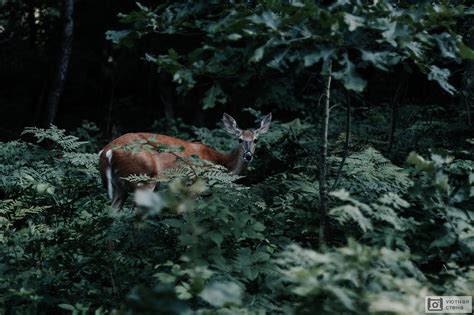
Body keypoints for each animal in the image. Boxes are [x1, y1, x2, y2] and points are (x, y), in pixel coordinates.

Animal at [98, 113, 272, 210]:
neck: (219, 161)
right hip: (143, 178)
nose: (248, 156)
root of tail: (107, 152)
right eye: (240, 139)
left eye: (256, 140)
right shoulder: (195, 184)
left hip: (119, 185)